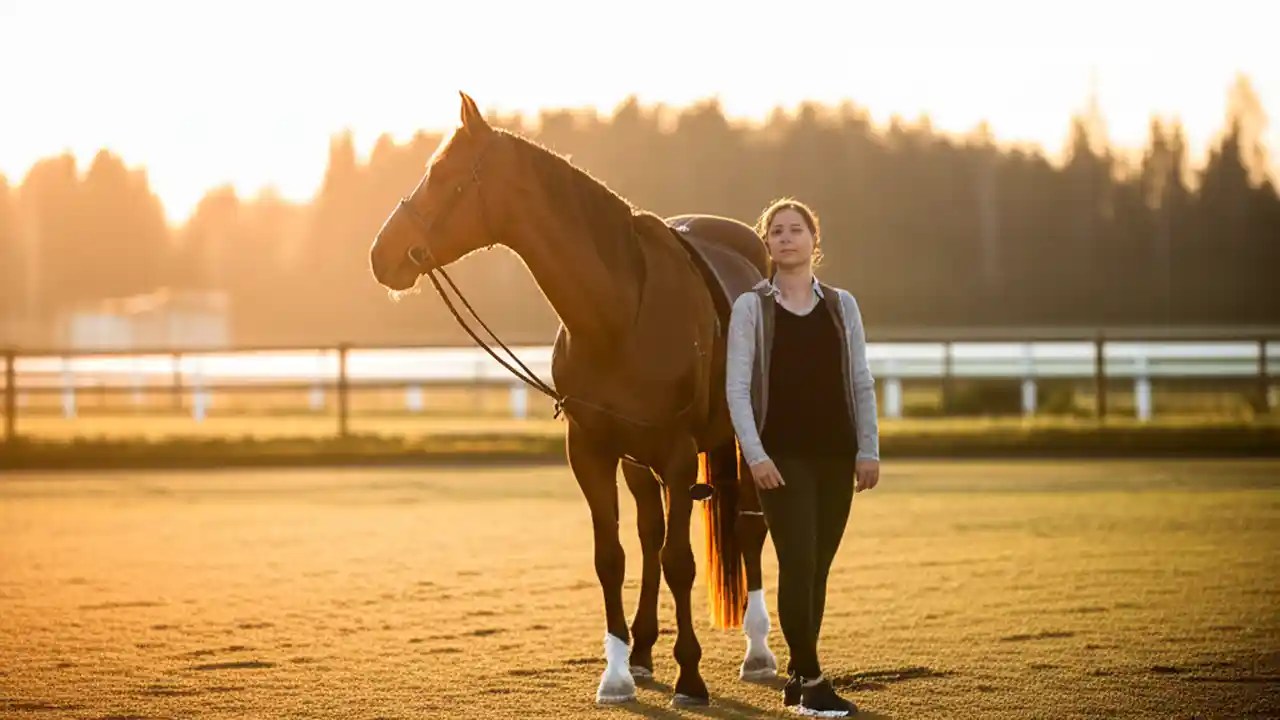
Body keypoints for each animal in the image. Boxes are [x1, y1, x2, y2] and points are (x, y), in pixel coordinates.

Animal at [368, 92, 778, 707]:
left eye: (442, 174)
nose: (380, 254)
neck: (620, 311)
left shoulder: (680, 456)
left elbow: (679, 562)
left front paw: (690, 676)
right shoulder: (591, 451)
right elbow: (613, 558)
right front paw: (617, 675)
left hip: (742, 442)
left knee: (748, 529)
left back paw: (757, 651)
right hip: (637, 461)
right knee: (650, 536)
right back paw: (643, 652)